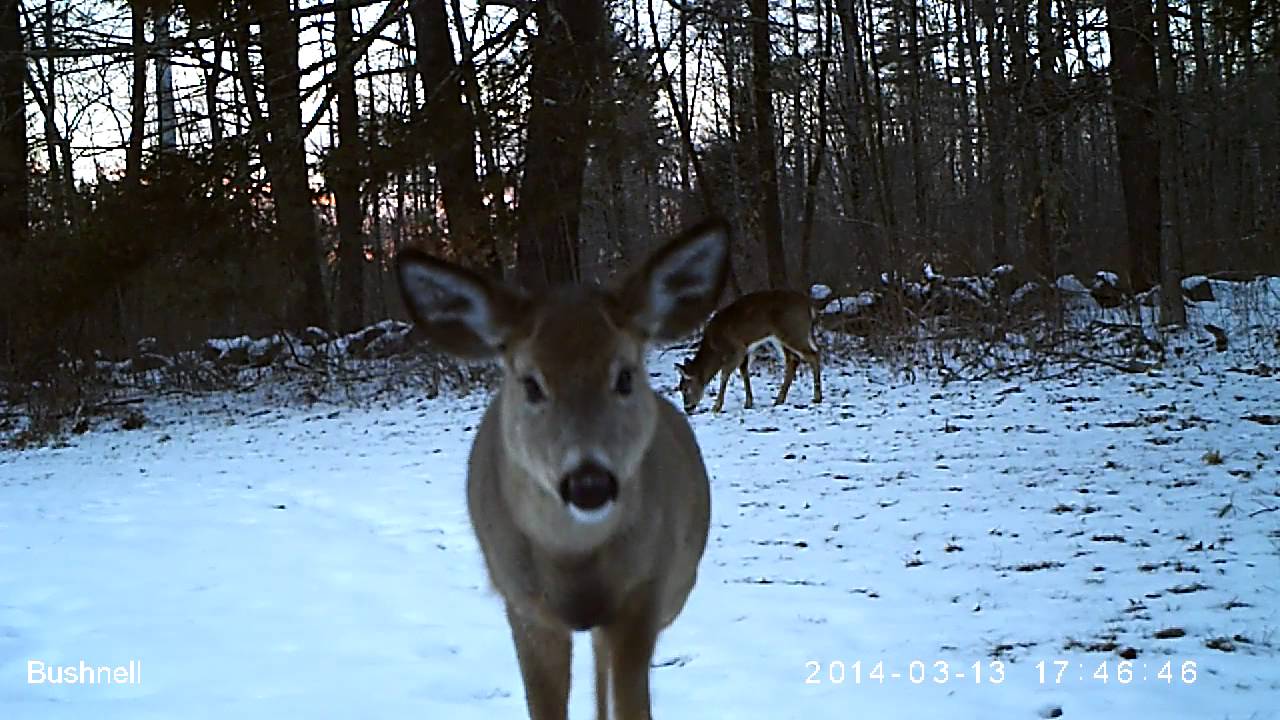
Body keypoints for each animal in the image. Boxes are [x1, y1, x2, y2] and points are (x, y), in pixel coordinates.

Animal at [395, 219, 730, 720]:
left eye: (624, 376)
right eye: (531, 383)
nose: (589, 483)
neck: (574, 561)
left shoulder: (644, 591)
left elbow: (630, 702)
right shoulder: (524, 605)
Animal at [675, 289, 823, 414]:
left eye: (685, 389)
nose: (687, 408)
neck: (715, 349)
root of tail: (809, 304)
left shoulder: (737, 349)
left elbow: (724, 374)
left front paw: (716, 407)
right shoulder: (745, 350)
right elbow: (744, 372)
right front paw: (748, 403)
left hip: (793, 330)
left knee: (813, 355)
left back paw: (817, 397)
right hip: (781, 338)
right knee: (793, 360)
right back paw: (779, 400)